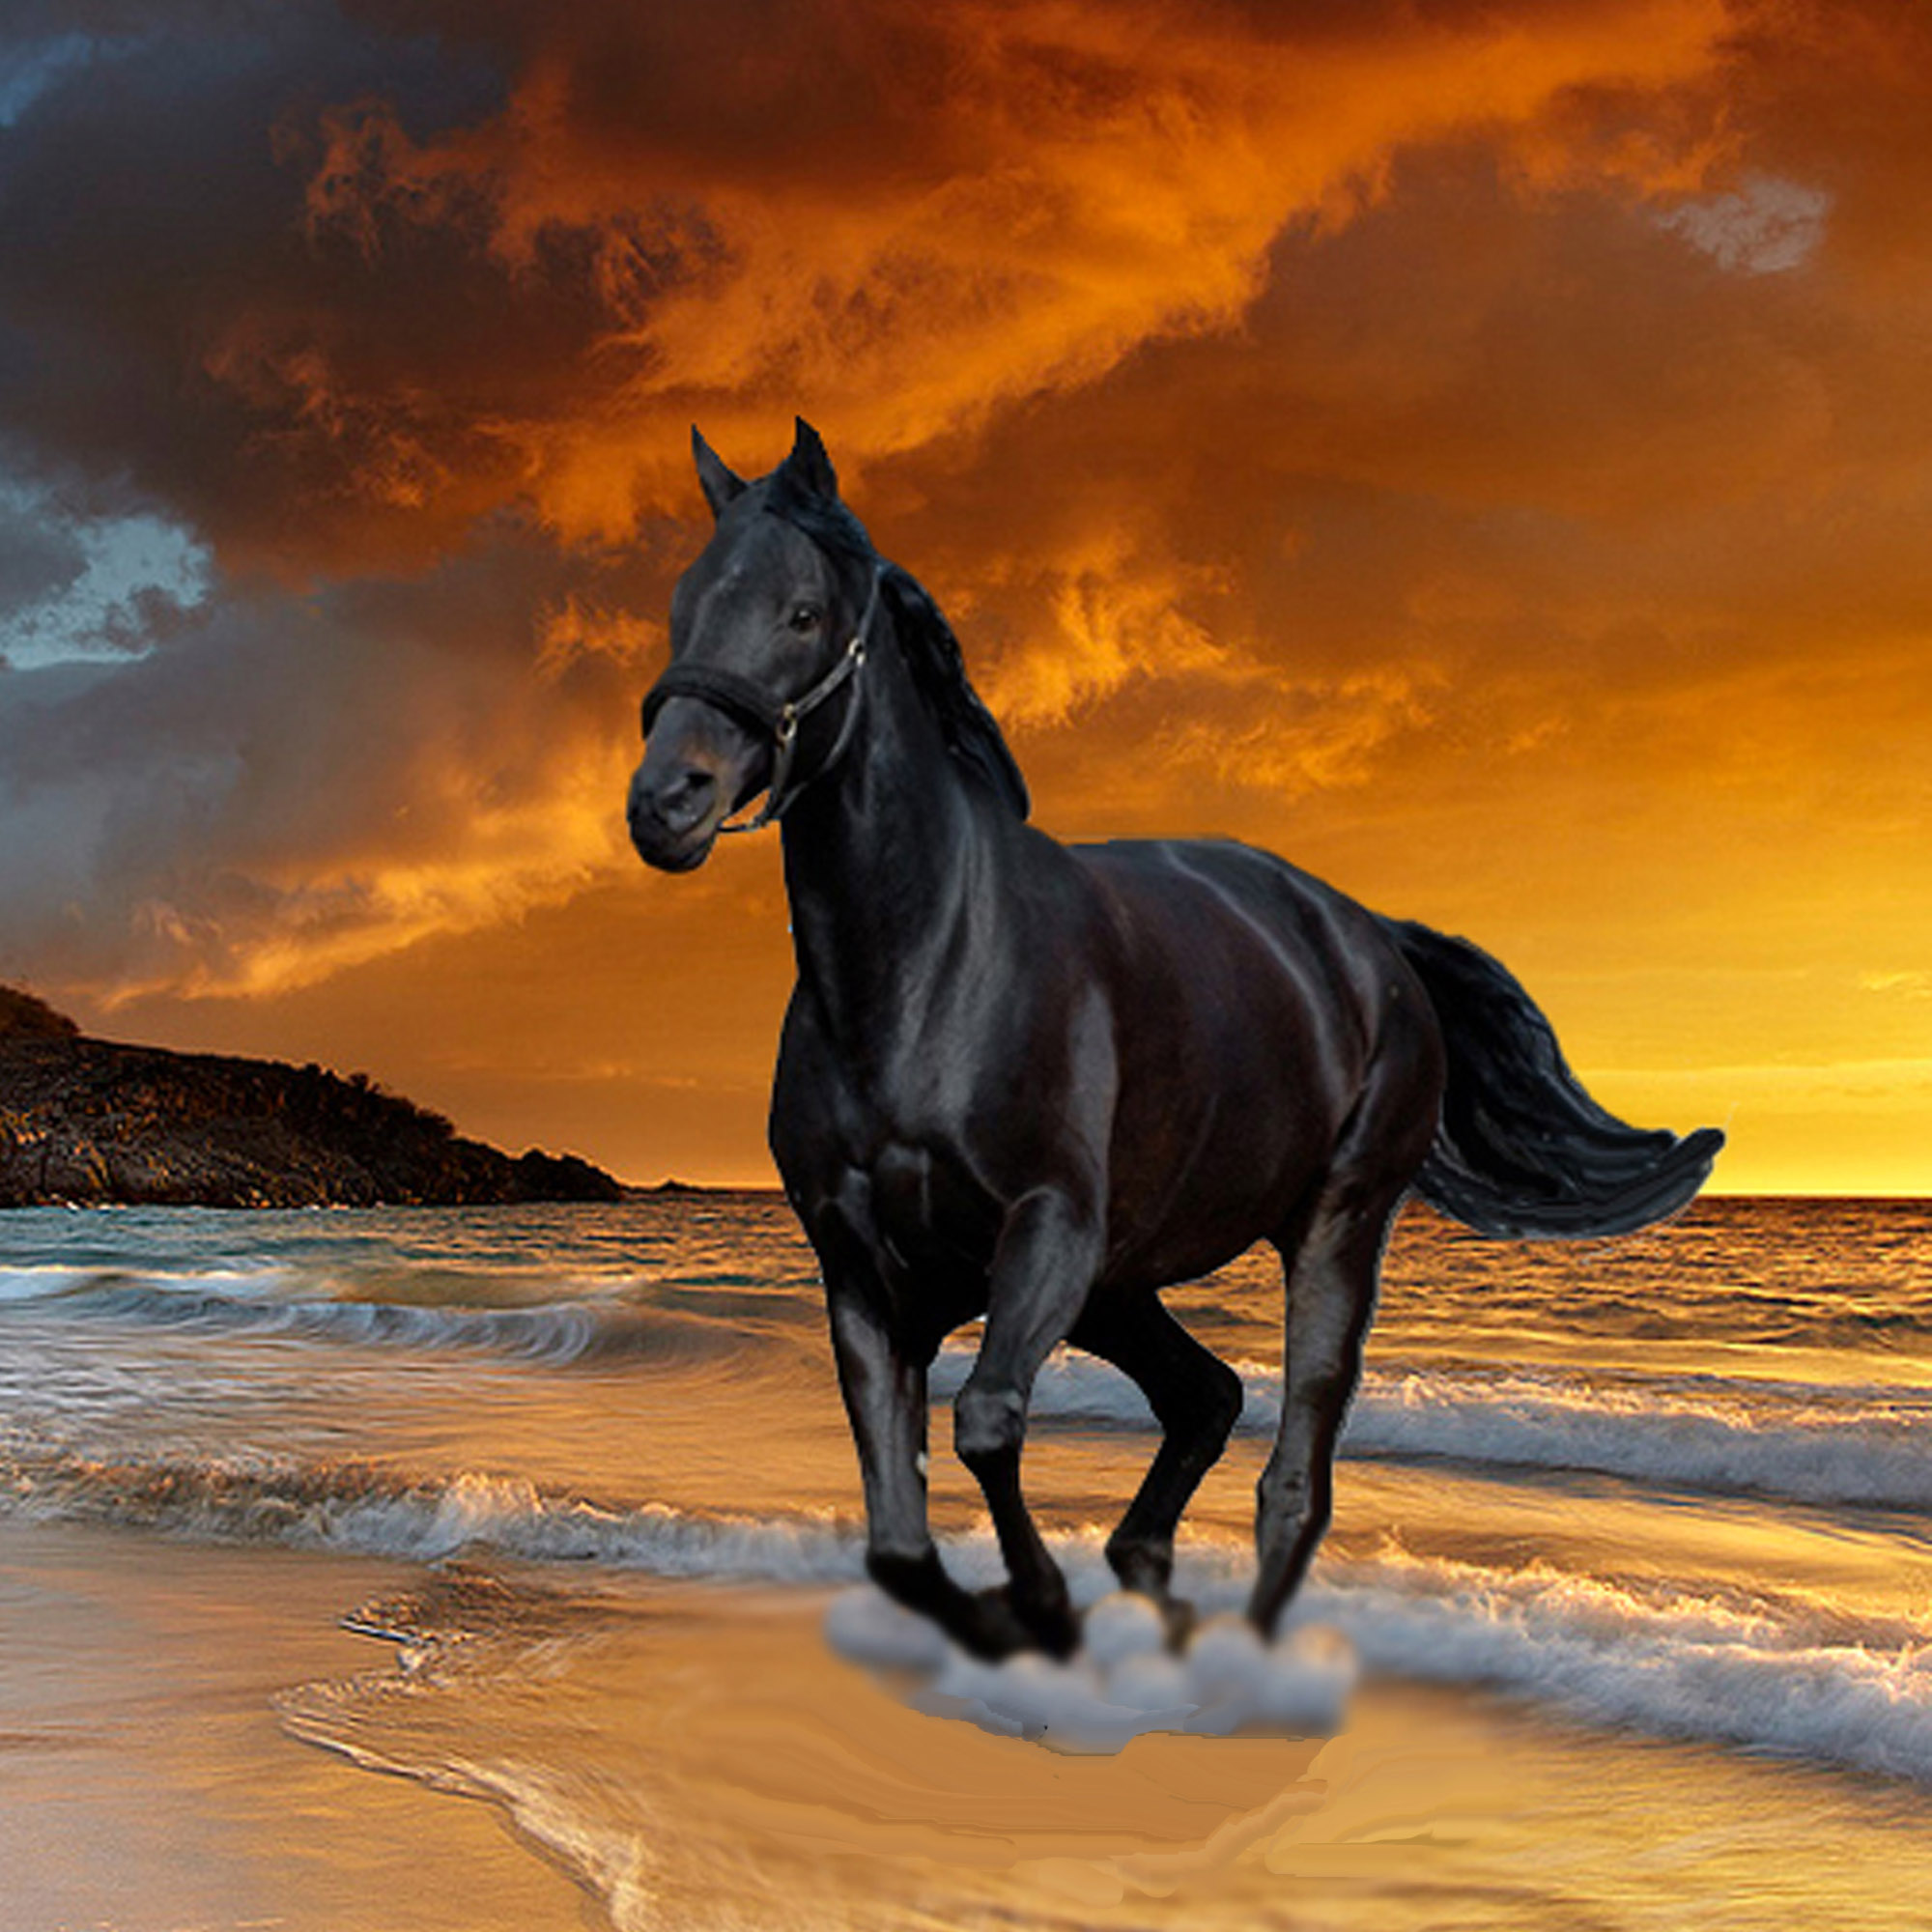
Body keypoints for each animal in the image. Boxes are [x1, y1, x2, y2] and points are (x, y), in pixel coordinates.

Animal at [627, 419, 1723, 1661]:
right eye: (681, 605)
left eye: (803, 612)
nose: (665, 801)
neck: (923, 975)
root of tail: (1369, 935)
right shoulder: (862, 1274)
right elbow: (900, 1543)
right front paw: (1016, 1611)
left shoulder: (1047, 1229)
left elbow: (987, 1419)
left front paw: (1039, 1604)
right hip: (1123, 1281)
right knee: (1205, 1398)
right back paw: (1149, 1588)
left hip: (1330, 1230)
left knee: (1290, 1479)